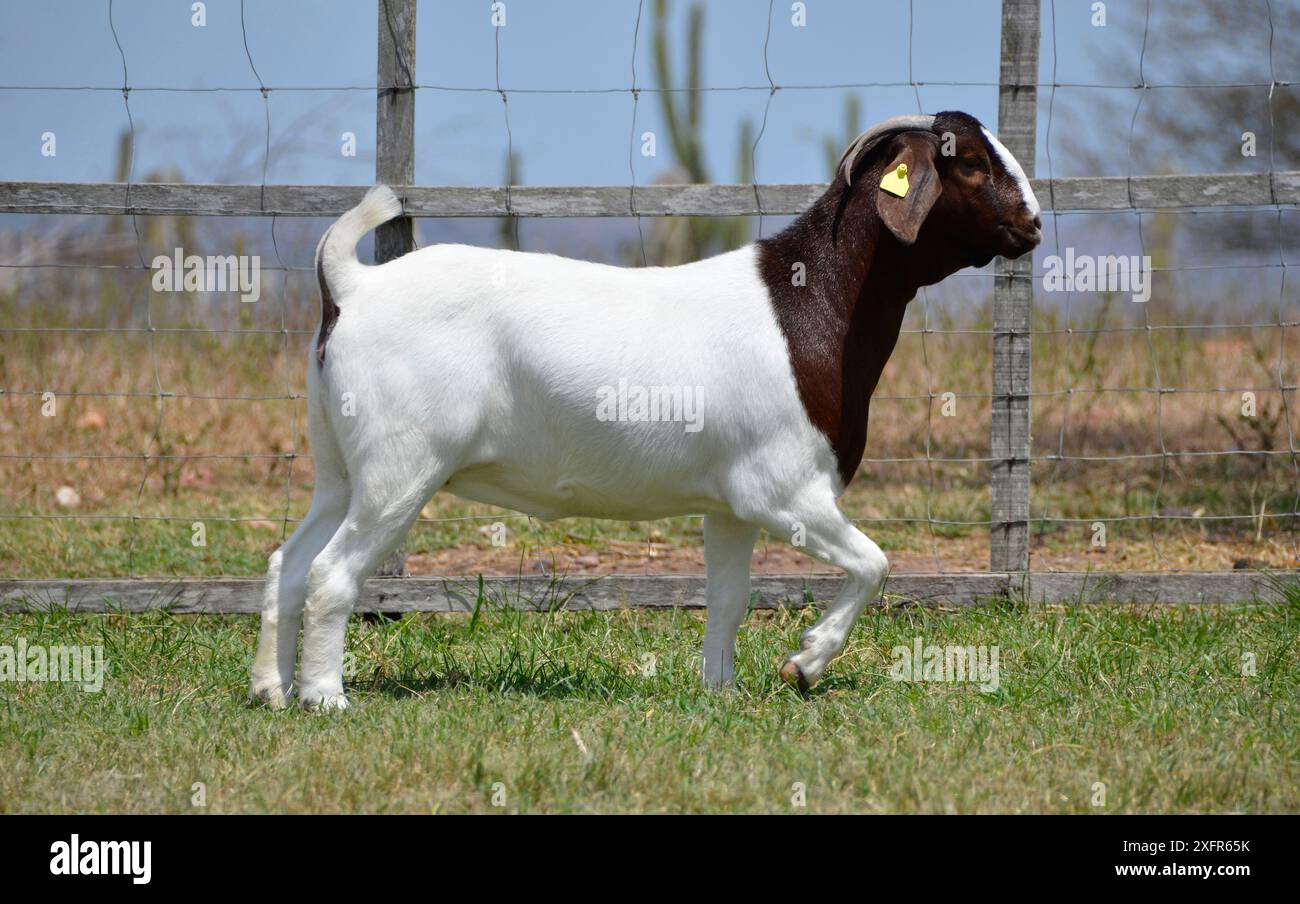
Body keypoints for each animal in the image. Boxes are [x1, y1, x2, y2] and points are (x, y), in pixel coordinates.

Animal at [249, 110, 1041, 710]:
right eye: (970, 163)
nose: (1033, 224)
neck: (809, 306)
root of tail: (353, 283)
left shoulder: (731, 506)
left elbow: (728, 599)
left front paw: (720, 692)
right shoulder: (784, 491)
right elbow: (875, 563)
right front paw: (804, 663)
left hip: (341, 467)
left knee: (290, 561)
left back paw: (271, 690)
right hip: (400, 468)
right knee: (332, 572)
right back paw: (325, 698)